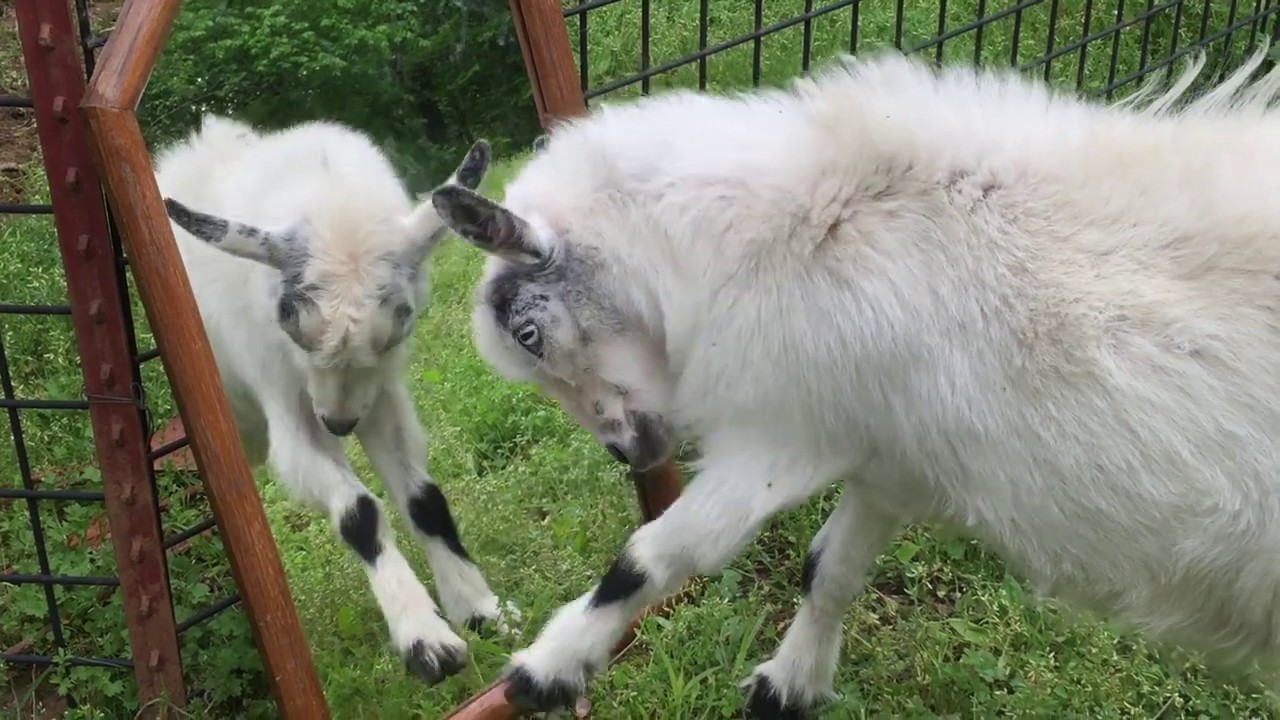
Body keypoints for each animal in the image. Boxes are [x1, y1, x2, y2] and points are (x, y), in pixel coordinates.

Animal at [155, 115, 518, 685]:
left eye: (399, 326)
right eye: (289, 320)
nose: (340, 423)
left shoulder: (382, 397)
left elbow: (424, 499)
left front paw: (482, 610)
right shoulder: (289, 410)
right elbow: (358, 511)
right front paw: (428, 642)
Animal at [432, 44, 1280, 716]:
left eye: (530, 334)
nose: (624, 451)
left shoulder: (782, 433)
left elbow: (654, 556)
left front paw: (542, 672)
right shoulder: (889, 450)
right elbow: (828, 568)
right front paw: (789, 687)